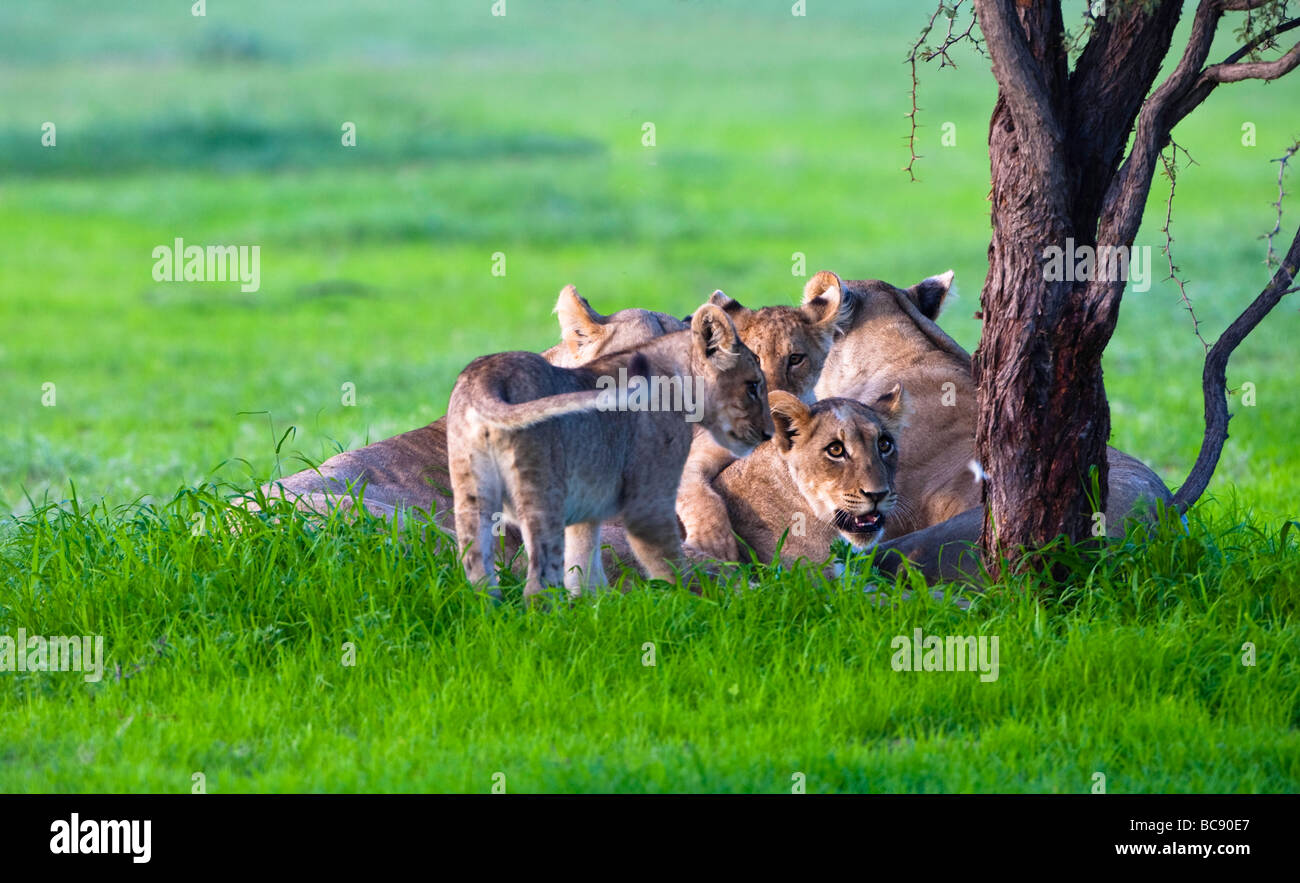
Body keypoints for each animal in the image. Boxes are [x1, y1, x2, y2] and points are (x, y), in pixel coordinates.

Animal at [446, 303, 773, 600]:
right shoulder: (647, 500)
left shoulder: (588, 503)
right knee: (538, 583)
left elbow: (583, 566)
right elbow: (674, 568)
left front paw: (592, 609)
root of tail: (487, 382)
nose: (769, 433)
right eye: (753, 386)